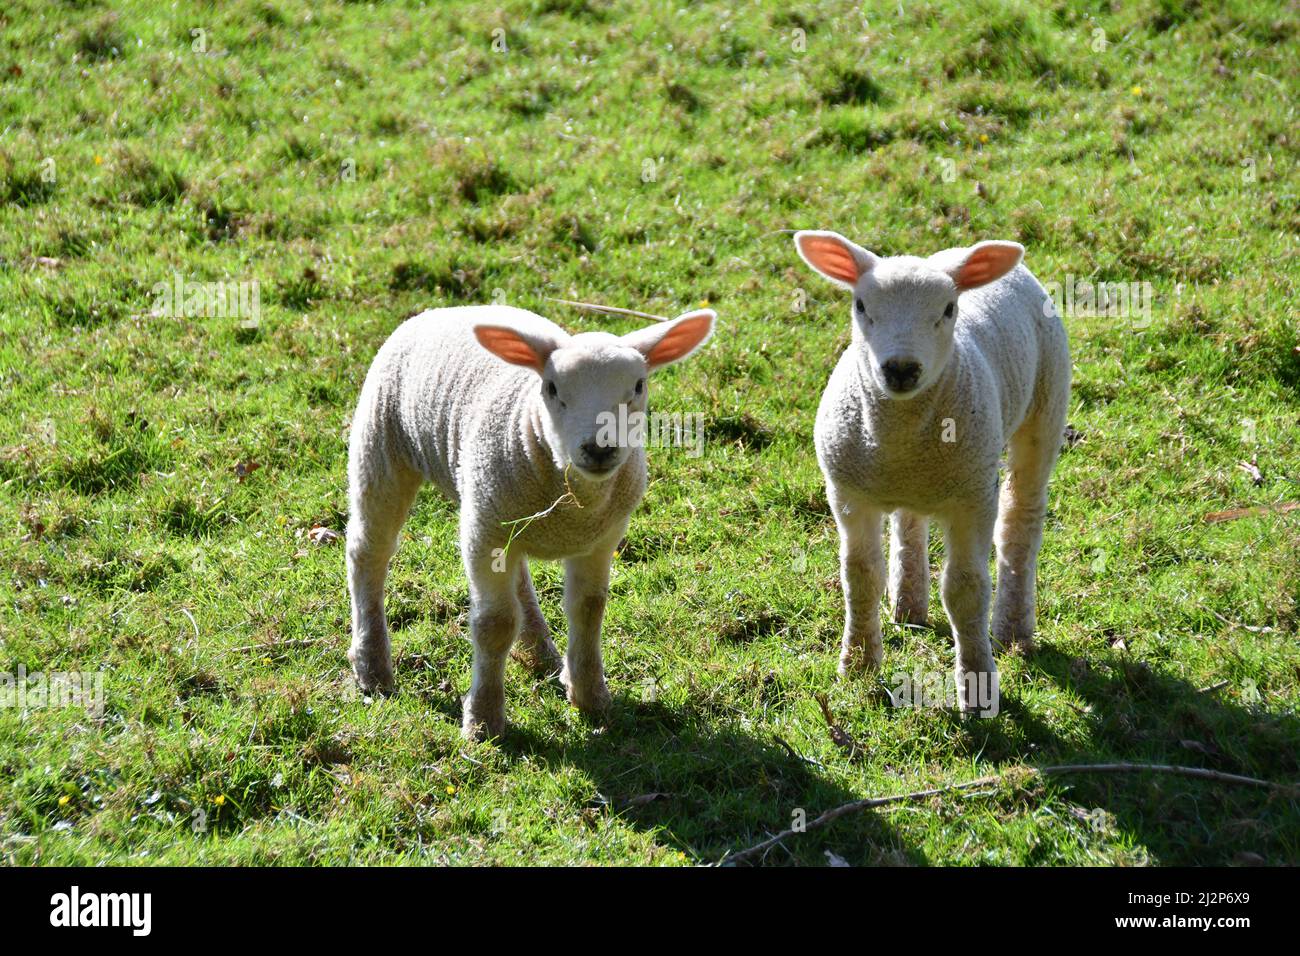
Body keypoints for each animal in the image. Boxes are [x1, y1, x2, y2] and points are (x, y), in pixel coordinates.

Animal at [346, 304, 715, 740]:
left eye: (638, 386)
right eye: (552, 389)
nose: (598, 448)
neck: (573, 506)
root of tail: (446, 309)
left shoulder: (601, 538)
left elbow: (588, 609)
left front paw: (590, 696)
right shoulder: (483, 531)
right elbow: (494, 623)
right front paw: (483, 721)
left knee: (520, 581)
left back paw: (542, 656)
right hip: (381, 445)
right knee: (368, 552)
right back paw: (372, 668)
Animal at [793, 231, 1070, 716]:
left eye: (948, 309)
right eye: (861, 305)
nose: (901, 368)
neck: (901, 438)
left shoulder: (973, 497)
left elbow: (965, 591)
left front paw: (977, 687)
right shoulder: (848, 494)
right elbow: (860, 577)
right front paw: (858, 666)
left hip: (1046, 404)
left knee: (1021, 520)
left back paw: (1013, 630)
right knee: (909, 522)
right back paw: (908, 607)